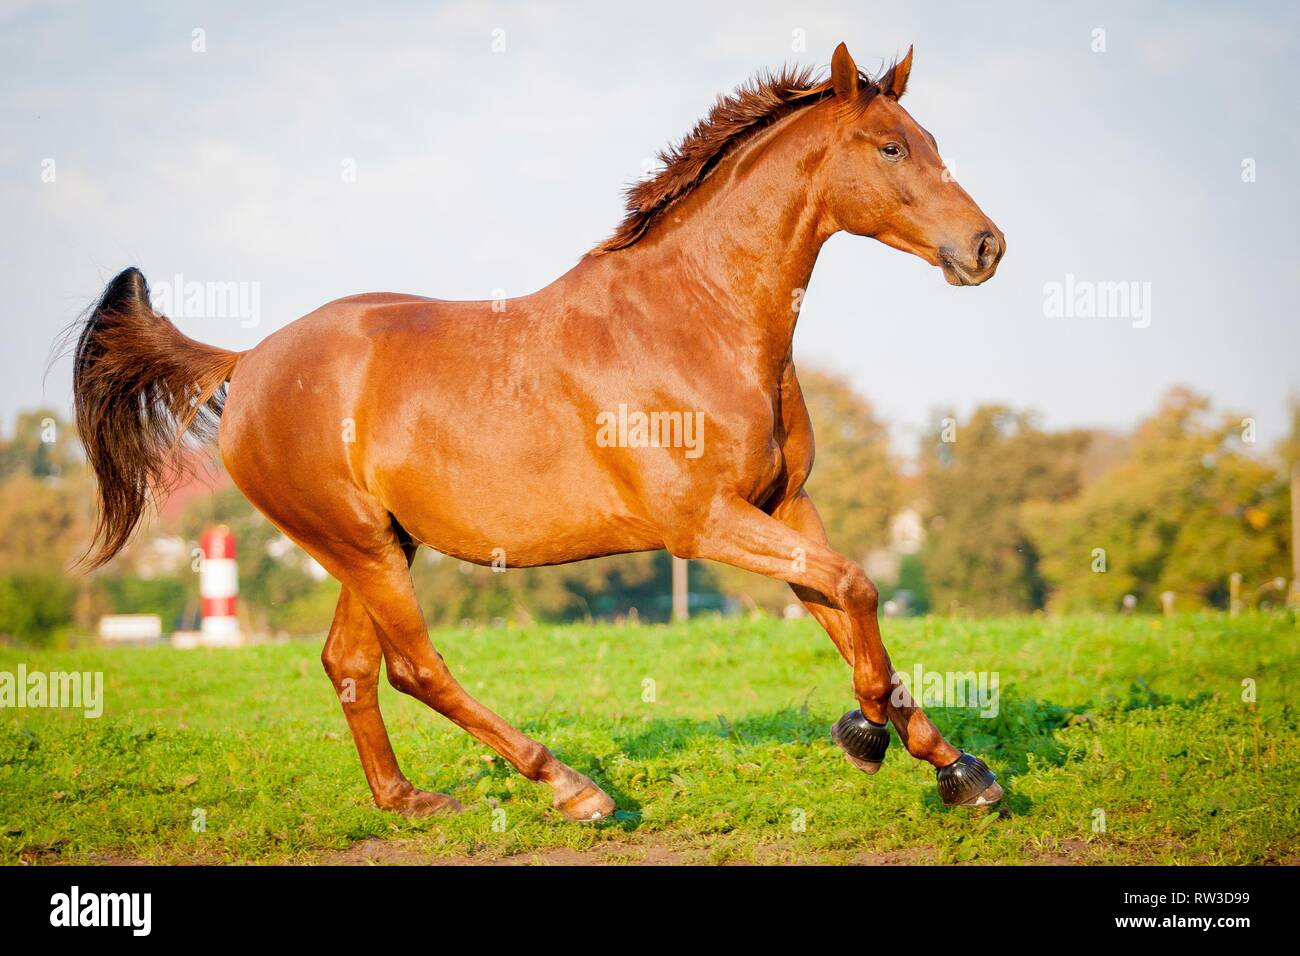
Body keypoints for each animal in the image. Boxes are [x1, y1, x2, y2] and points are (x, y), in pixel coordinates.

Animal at [68, 41, 1006, 820]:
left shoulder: (783, 507)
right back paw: (572, 788)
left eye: (927, 138)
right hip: (360, 546)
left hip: (378, 544)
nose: (987, 246)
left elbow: (845, 600)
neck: (695, 318)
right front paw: (871, 734)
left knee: (350, 665)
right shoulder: (702, 524)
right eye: (891, 148)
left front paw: (956, 767)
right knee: (414, 668)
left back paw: (409, 802)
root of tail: (248, 361)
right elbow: (857, 587)